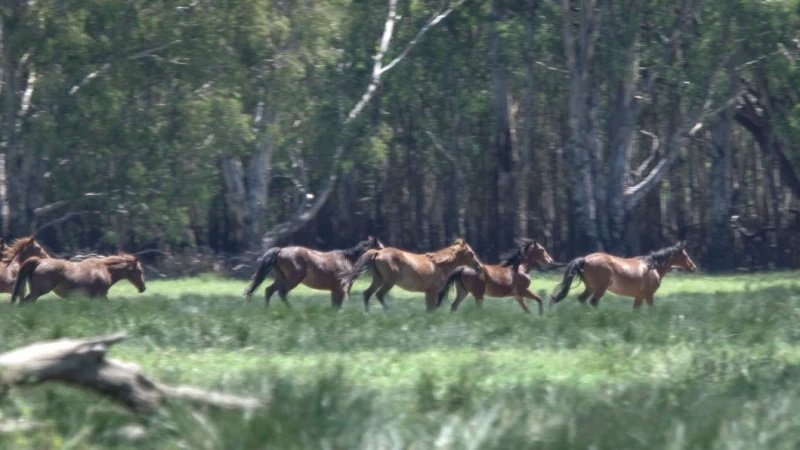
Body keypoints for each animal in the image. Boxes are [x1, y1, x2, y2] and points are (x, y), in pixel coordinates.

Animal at [11, 253, 146, 303]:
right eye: (140, 271)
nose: (143, 288)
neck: (105, 269)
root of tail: (39, 261)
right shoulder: (101, 295)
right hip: (38, 292)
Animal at [243, 236, 385, 309]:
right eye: (379, 247)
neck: (347, 260)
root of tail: (280, 250)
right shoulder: (341, 288)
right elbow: (339, 305)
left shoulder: (335, 290)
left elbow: (335, 305)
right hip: (293, 279)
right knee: (282, 292)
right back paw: (291, 310)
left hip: (281, 278)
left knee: (269, 291)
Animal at [340, 238, 483, 312]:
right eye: (471, 253)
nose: (479, 267)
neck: (439, 265)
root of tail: (378, 253)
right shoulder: (432, 292)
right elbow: (431, 309)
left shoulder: (429, 293)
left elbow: (430, 308)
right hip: (389, 282)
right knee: (379, 294)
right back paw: (388, 311)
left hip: (378, 280)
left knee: (367, 294)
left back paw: (368, 313)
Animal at [549, 241, 696, 309]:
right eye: (685, 255)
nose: (693, 267)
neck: (652, 267)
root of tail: (584, 259)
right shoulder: (648, 295)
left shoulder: (639, 296)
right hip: (600, 288)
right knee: (593, 302)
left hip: (590, 287)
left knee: (582, 300)